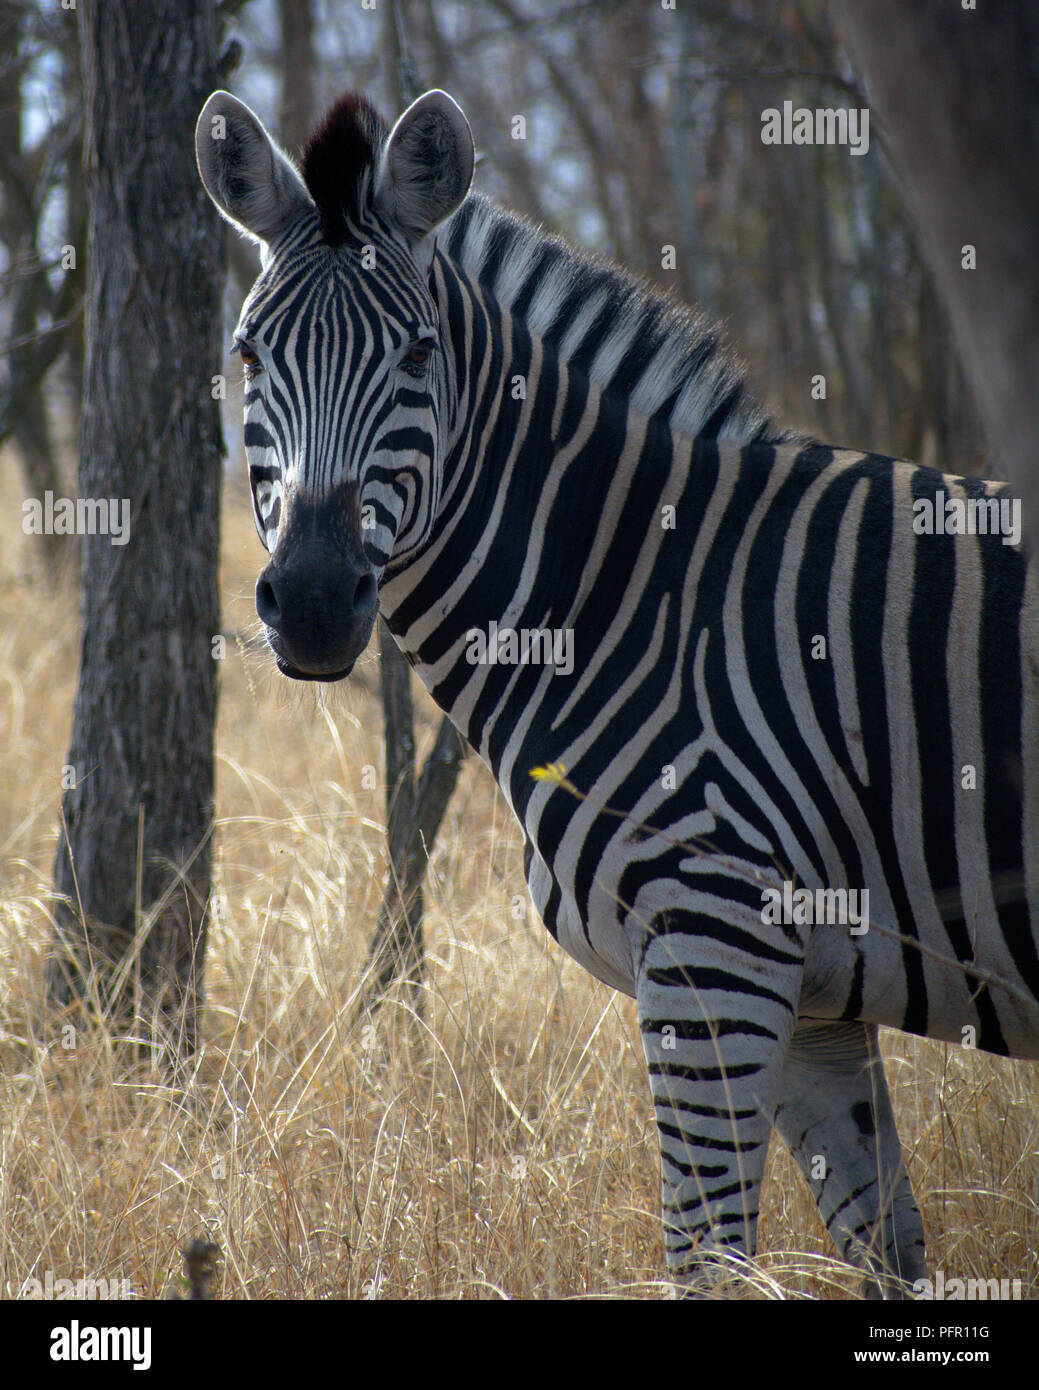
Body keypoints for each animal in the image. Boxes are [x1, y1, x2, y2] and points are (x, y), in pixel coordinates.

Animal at [195, 86, 1039, 1297]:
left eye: (418, 354)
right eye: (249, 354)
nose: (309, 601)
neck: (635, 589)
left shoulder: (715, 943)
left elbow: (705, 1258)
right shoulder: (813, 995)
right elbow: (884, 1249)